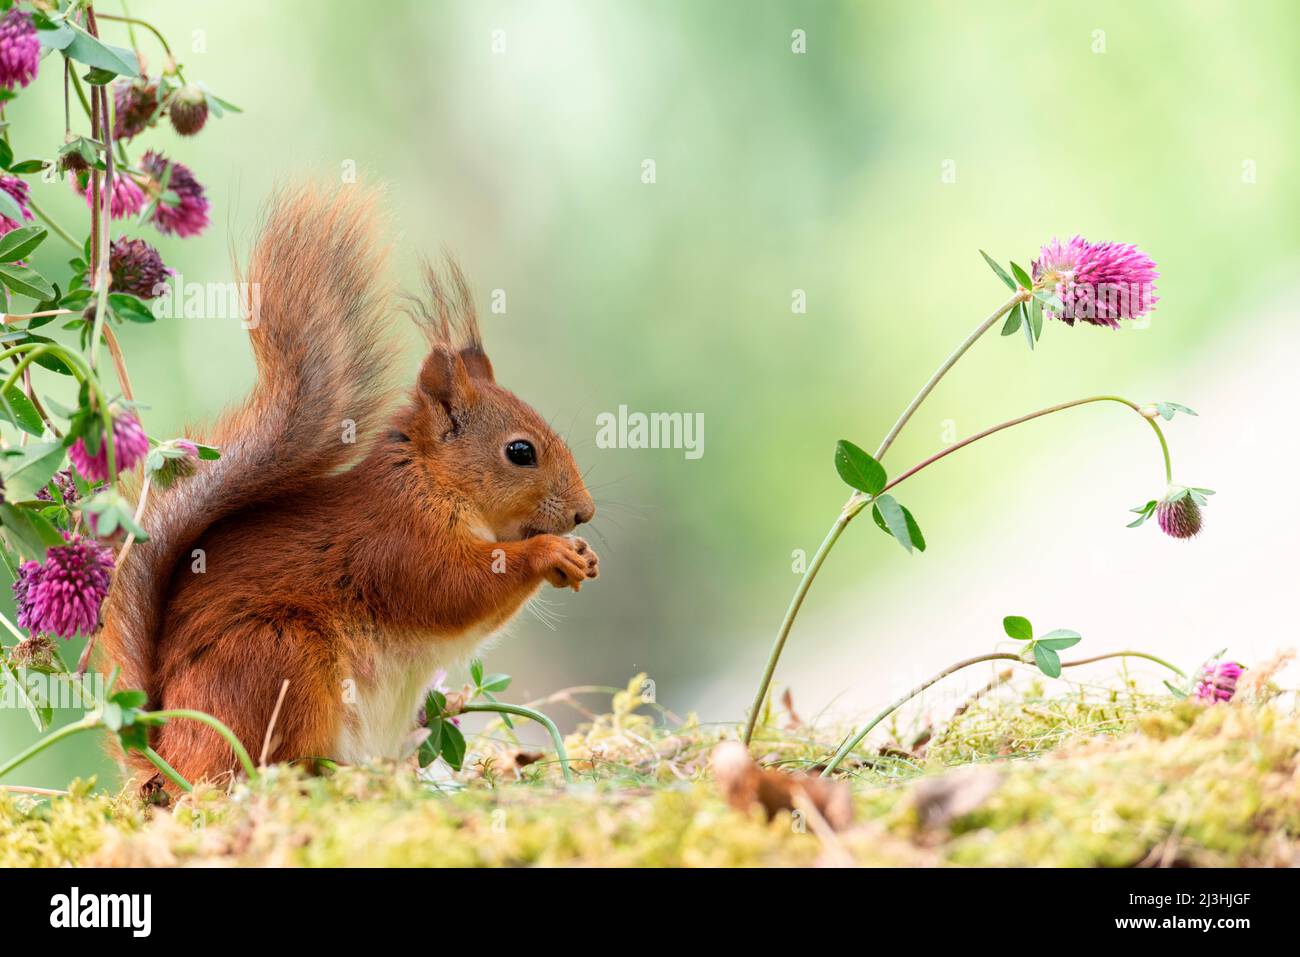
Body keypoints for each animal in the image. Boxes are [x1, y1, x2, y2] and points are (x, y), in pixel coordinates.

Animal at [100, 184, 598, 789]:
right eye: (520, 452)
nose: (585, 513)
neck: (431, 483)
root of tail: (162, 754)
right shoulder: (396, 542)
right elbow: (455, 588)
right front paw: (549, 553)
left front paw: (582, 556)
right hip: (279, 657)